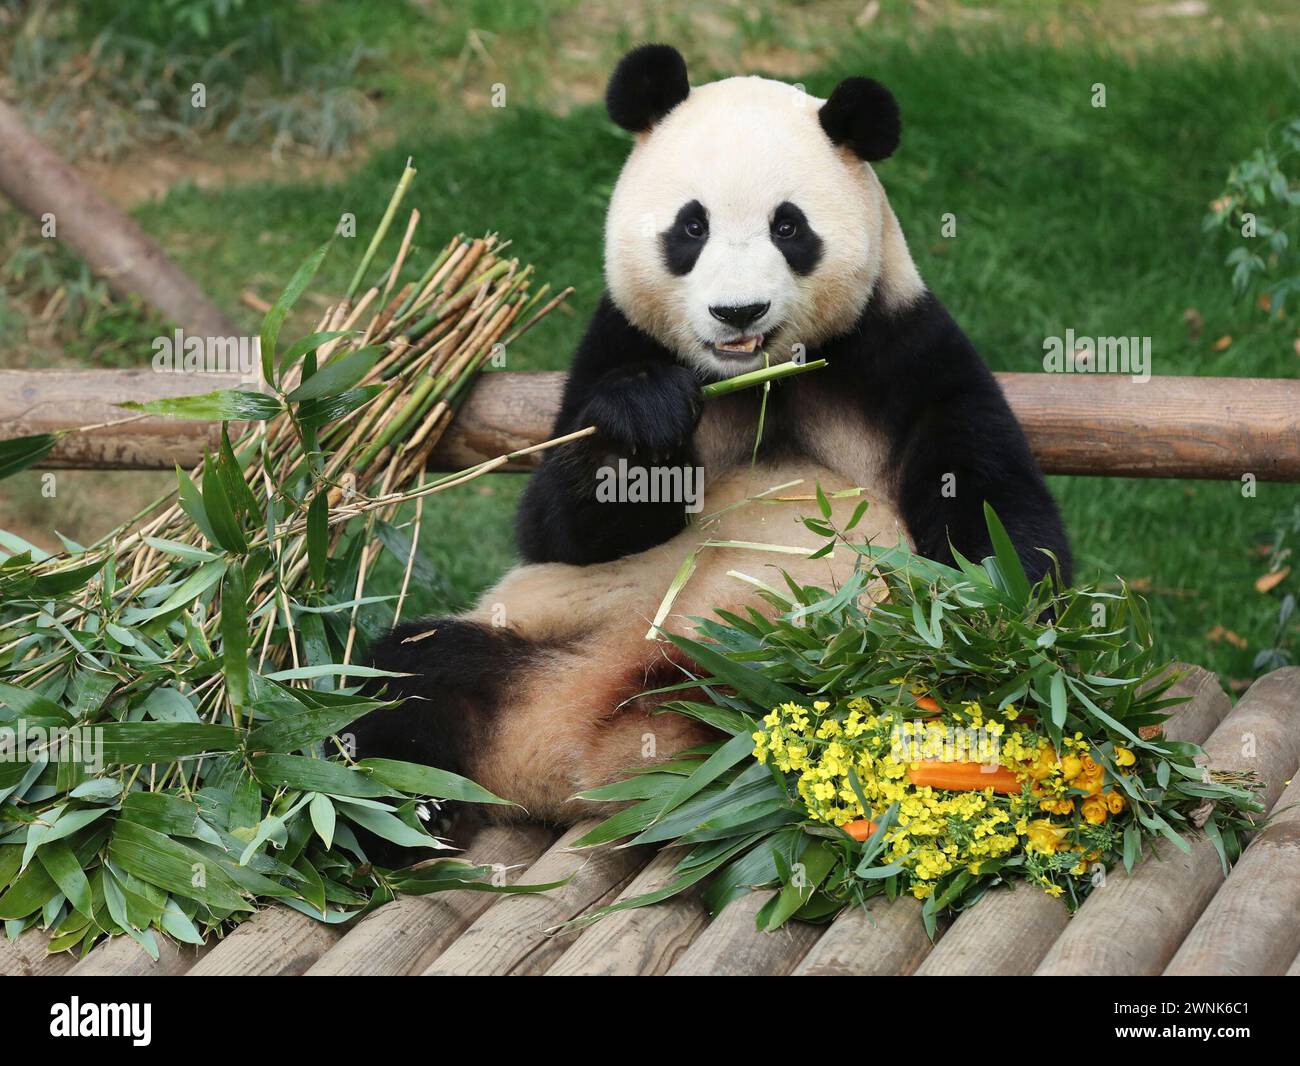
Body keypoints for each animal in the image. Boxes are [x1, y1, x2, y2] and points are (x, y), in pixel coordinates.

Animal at [351, 45, 1070, 831]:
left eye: (789, 228)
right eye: (690, 228)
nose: (738, 311)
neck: (757, 380)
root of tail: (576, 757)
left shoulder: (904, 349)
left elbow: (993, 516)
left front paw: (997, 644)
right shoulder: (612, 344)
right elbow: (557, 528)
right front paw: (645, 421)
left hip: (810, 668)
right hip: (530, 631)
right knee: (395, 684)